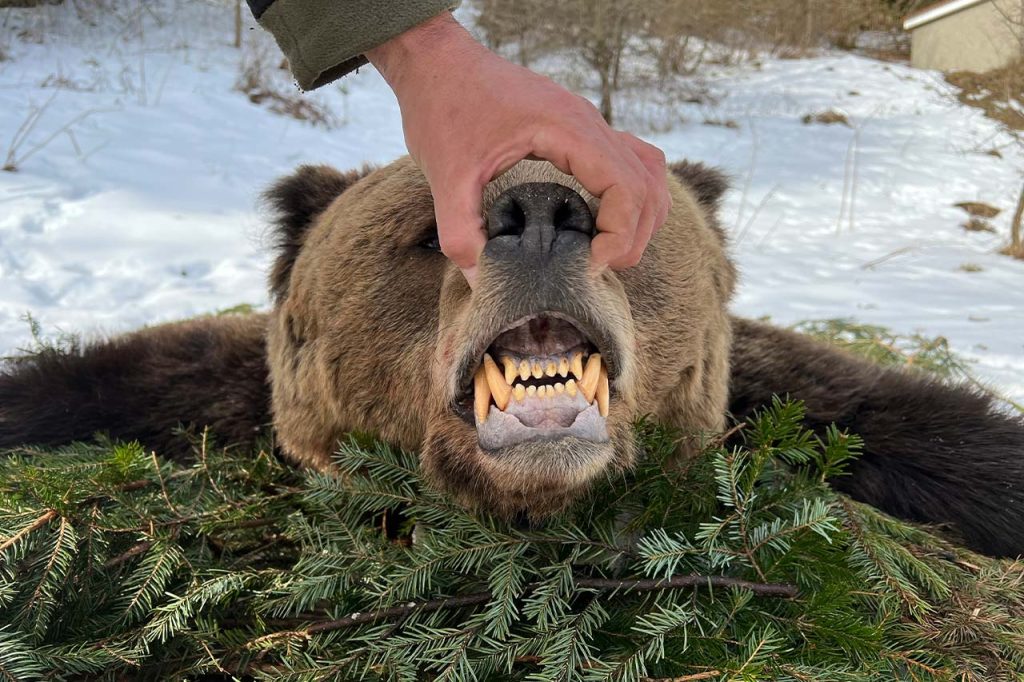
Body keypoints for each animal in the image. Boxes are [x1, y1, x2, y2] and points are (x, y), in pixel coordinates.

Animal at [1, 157, 1023, 557]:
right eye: (426, 230)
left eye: (630, 226)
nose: (539, 213)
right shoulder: (220, 391)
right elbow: (105, 383)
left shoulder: (777, 395)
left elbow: (914, 426)